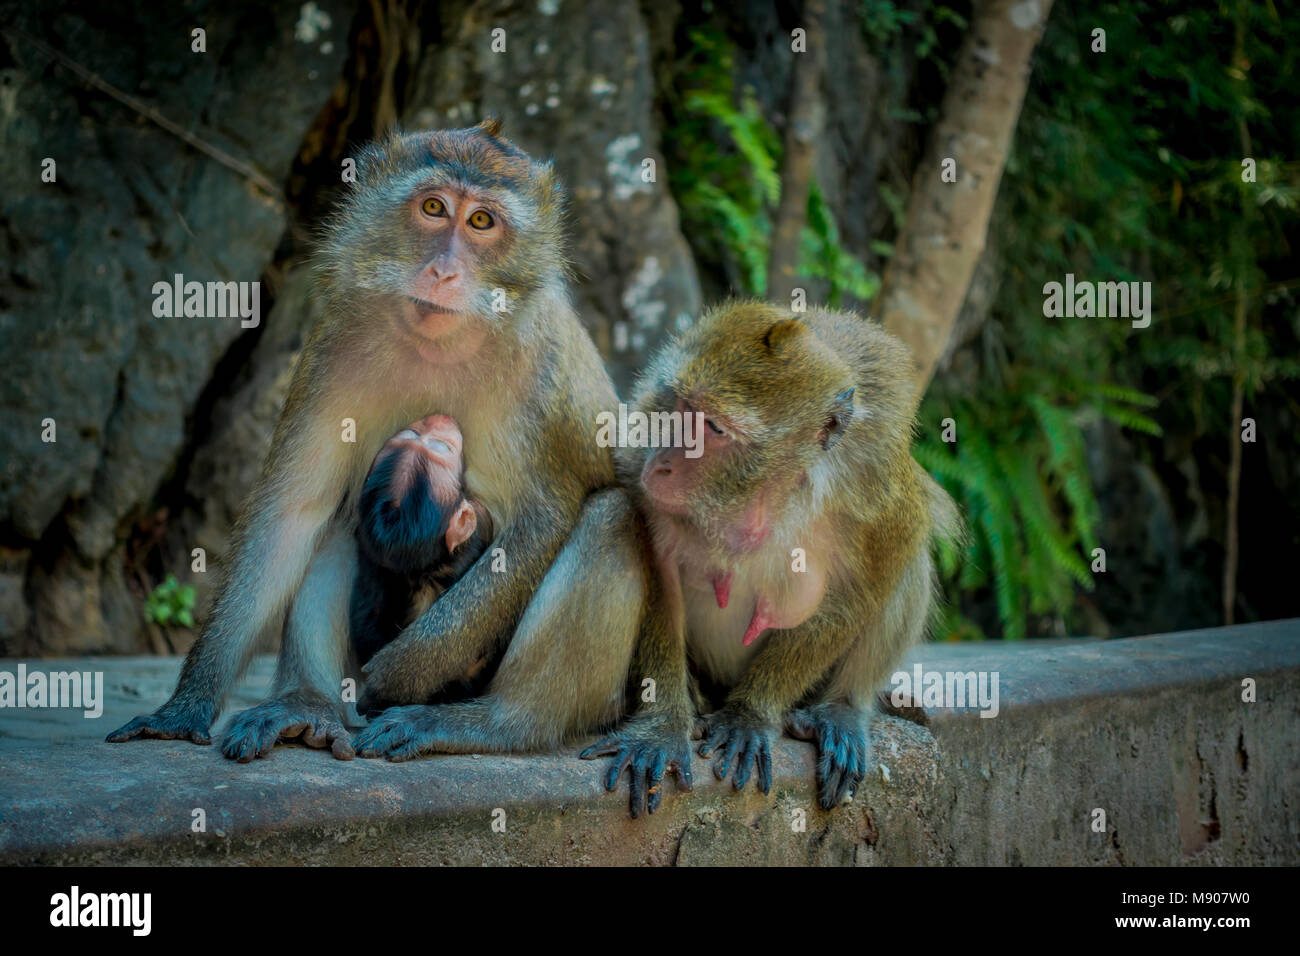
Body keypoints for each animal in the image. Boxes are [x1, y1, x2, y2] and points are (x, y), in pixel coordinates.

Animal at [581, 300, 961, 814]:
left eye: (714, 428)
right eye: (681, 407)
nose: (661, 464)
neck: (768, 494)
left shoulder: (875, 489)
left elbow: (860, 592)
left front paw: (750, 713)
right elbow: (660, 573)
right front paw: (662, 725)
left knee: (909, 568)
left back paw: (842, 709)